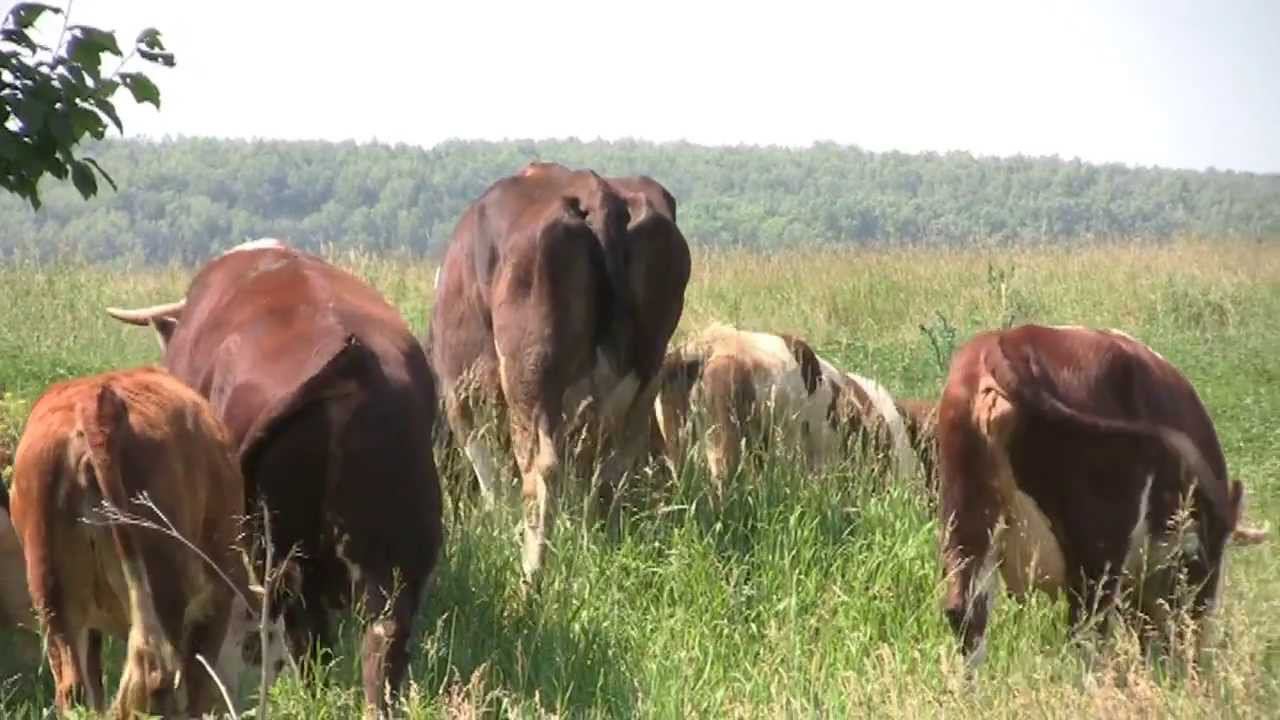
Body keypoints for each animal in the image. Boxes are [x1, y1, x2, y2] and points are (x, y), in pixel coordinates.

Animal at [8, 366, 284, 718]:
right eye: (267, 652)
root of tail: (95, 404)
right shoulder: (217, 595)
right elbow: (198, 680)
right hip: (164, 587)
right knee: (161, 681)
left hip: (51, 594)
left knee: (73, 689)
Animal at [430, 162, 690, 585]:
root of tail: (596, 190)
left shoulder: (463, 395)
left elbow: (490, 475)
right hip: (646, 371)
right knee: (613, 465)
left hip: (531, 376)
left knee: (542, 470)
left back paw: (530, 577)